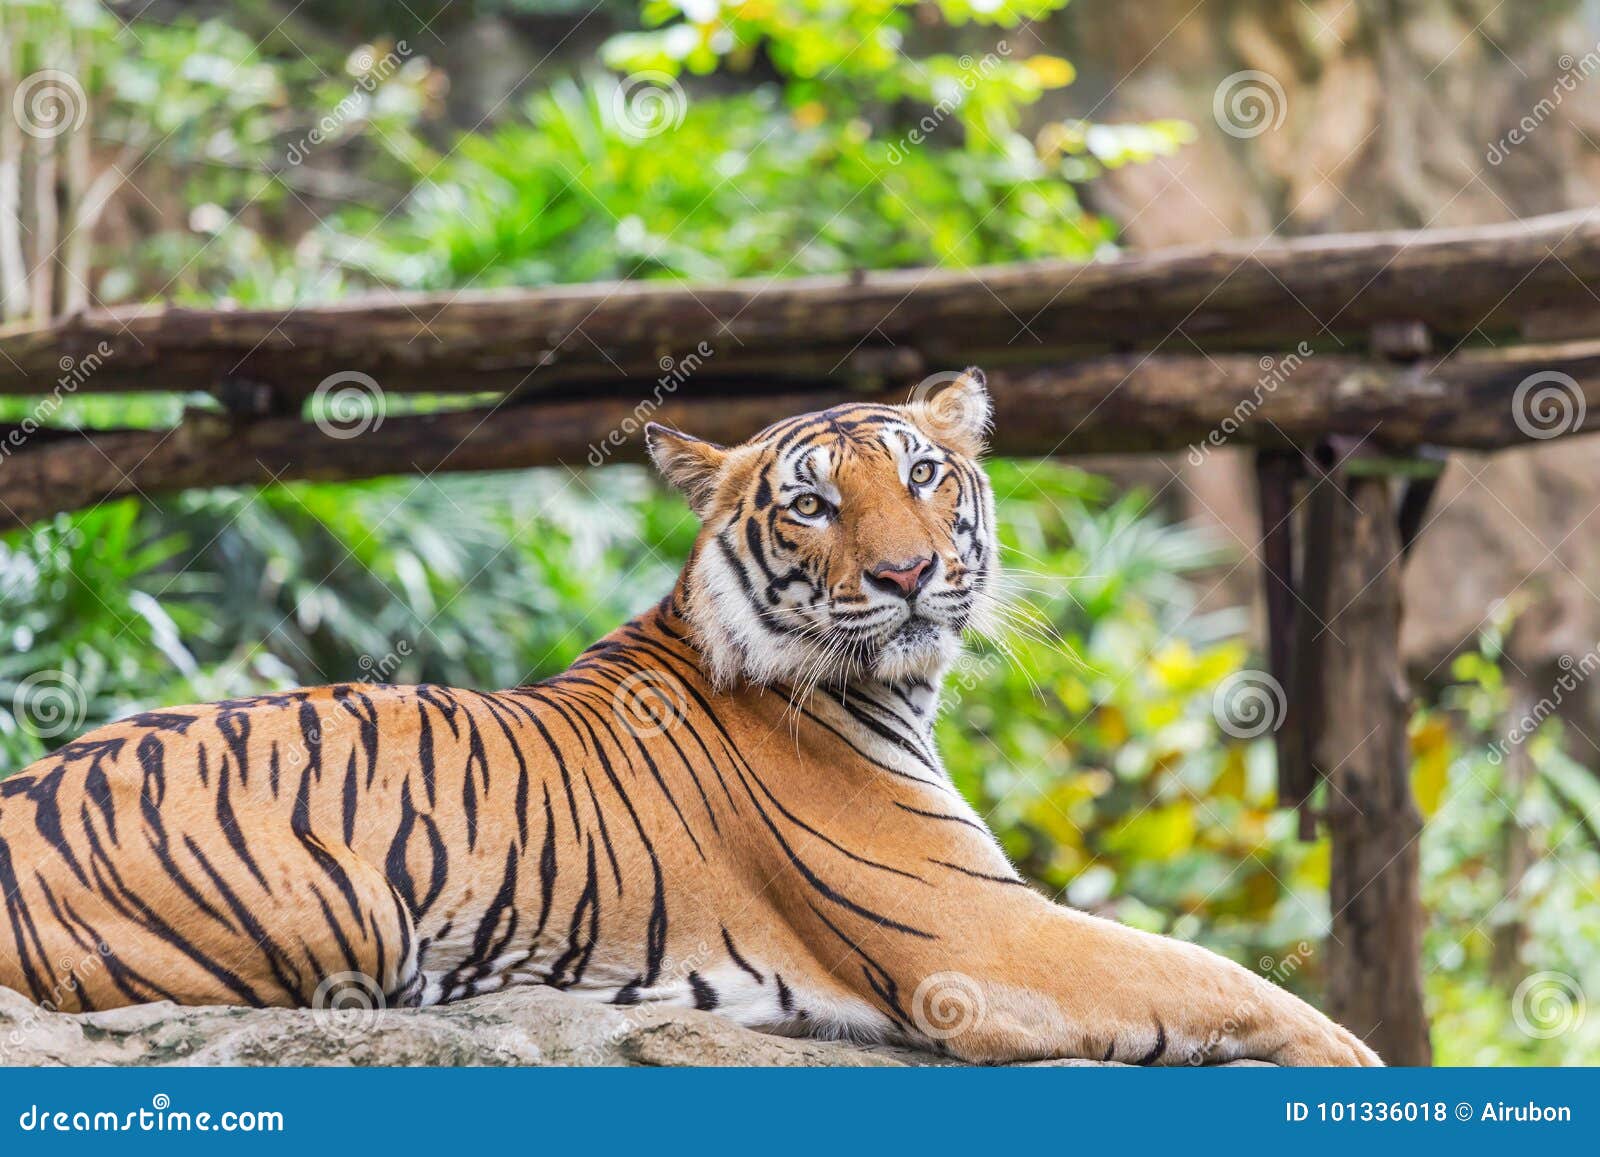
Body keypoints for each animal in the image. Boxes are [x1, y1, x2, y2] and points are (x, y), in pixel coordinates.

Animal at [0, 370, 1379, 1065]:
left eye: (924, 474)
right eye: (814, 505)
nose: (908, 574)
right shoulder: (981, 941)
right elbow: (1222, 977)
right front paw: (1351, 1058)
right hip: (343, 914)